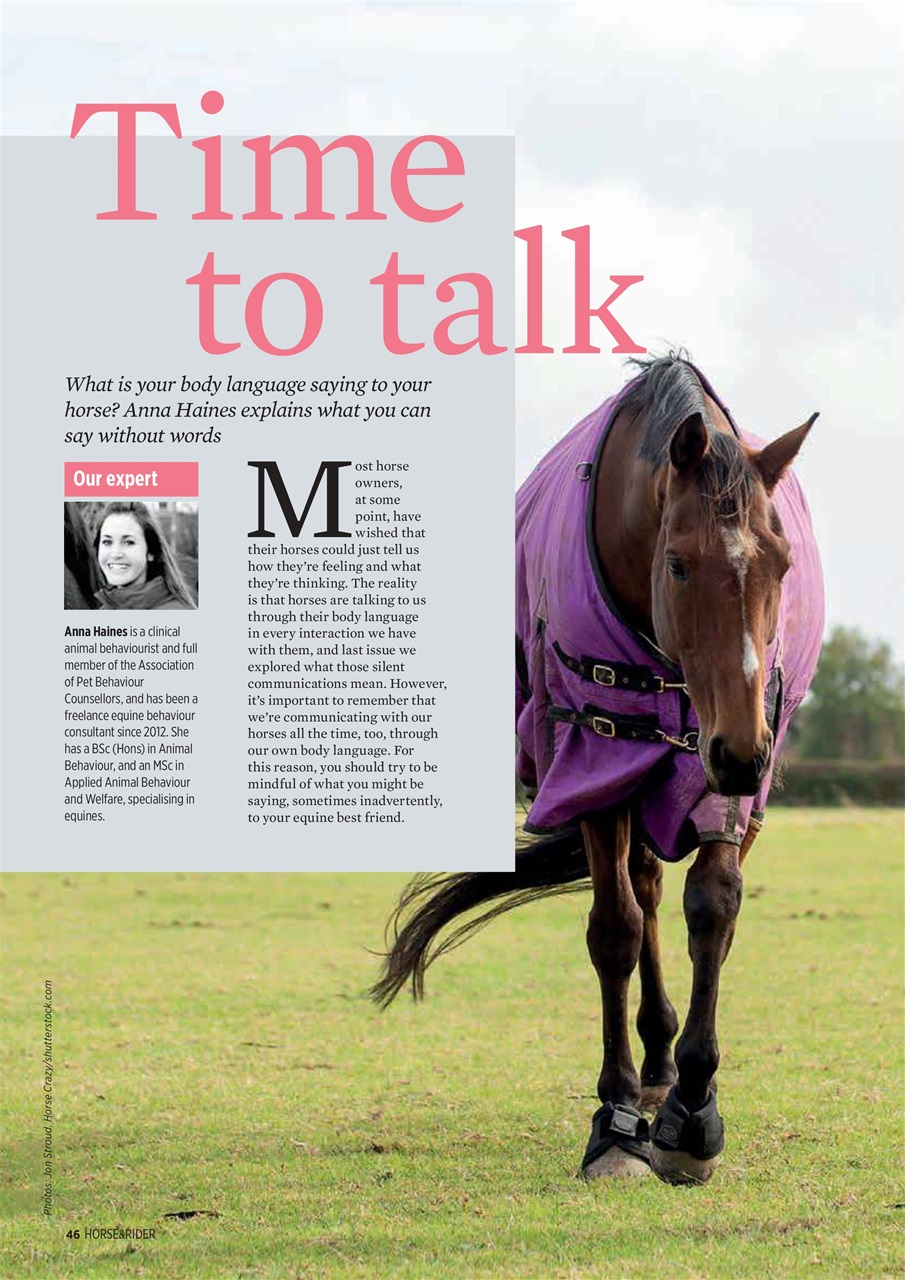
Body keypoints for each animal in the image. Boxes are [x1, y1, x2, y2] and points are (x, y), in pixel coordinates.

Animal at [372, 354, 824, 1185]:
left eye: (780, 565)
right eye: (678, 564)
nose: (739, 752)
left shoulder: (730, 777)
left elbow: (714, 906)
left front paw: (693, 1116)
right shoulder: (593, 762)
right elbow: (614, 929)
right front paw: (615, 1123)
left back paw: (668, 1072)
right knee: (640, 894)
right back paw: (650, 1063)